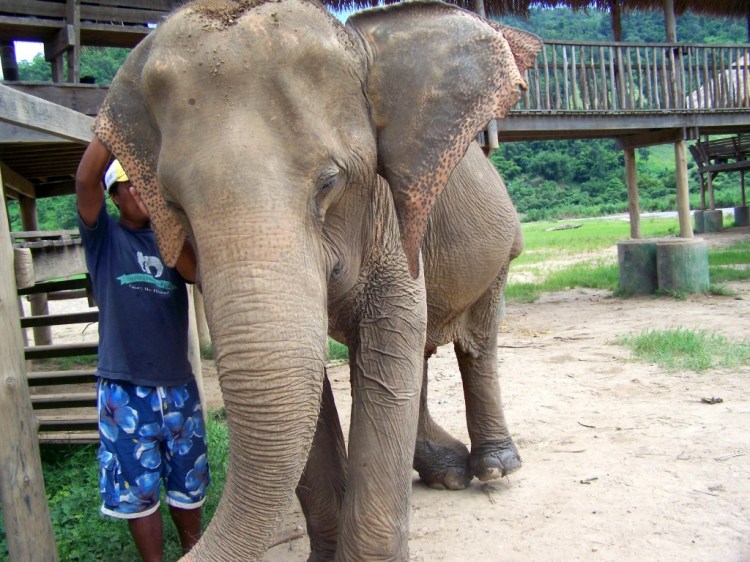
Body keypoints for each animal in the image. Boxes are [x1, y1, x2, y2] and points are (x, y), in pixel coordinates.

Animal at [93, 0, 542, 559]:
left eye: (329, 183)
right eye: (172, 205)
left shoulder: (388, 216)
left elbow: (383, 356)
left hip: (505, 248)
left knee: (476, 343)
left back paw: (495, 468)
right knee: (417, 353)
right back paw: (444, 471)